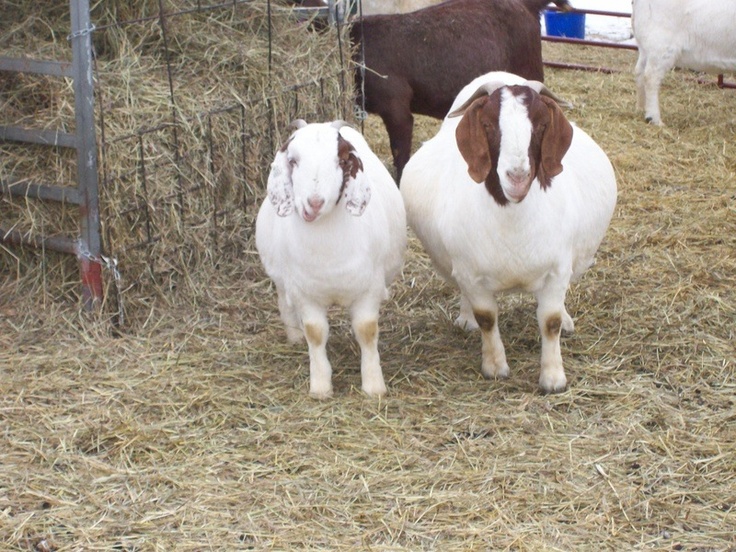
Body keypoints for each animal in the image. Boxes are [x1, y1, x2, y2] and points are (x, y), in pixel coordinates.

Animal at [255, 120, 407, 398]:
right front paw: (320, 388)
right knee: (284, 302)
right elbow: (315, 333)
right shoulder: (305, 294)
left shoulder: (368, 290)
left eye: (342, 160)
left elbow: (366, 331)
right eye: (292, 160)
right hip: (282, 279)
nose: (314, 203)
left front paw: (374, 387)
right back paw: (294, 336)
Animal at [400, 72, 617, 393]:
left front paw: (553, 379)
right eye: (488, 125)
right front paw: (495, 368)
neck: (514, 218)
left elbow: (550, 321)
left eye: (541, 125)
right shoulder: (471, 273)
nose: (517, 177)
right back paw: (466, 320)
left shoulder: (557, 270)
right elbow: (487, 319)